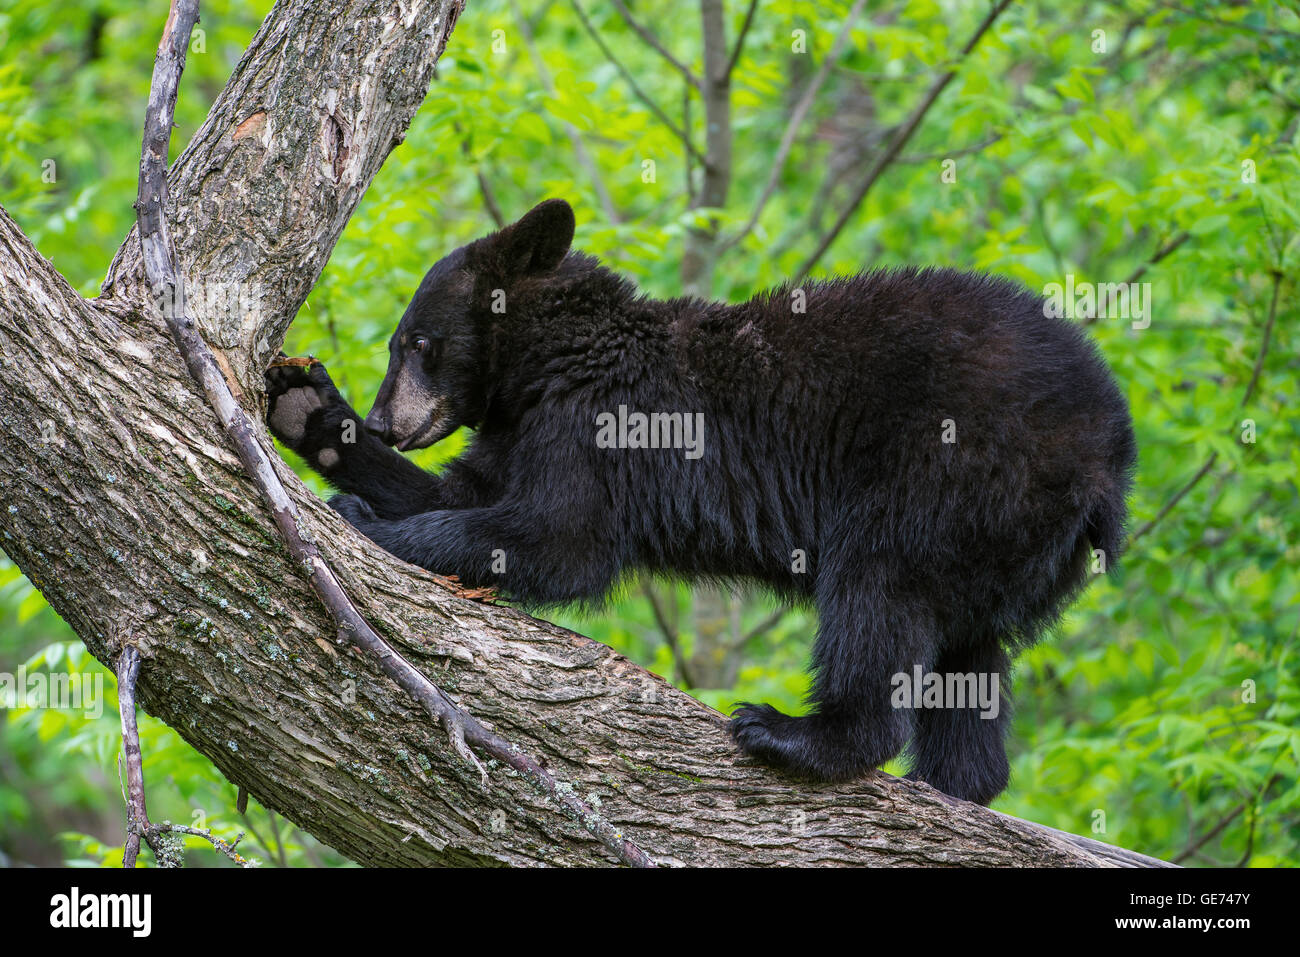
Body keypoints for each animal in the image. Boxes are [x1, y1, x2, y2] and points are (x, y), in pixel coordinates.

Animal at [266, 198, 1137, 805]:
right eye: (396, 345)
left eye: (418, 342)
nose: (388, 417)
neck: (551, 363)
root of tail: (1111, 458)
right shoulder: (519, 433)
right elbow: (464, 491)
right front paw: (313, 414)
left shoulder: (597, 425)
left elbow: (558, 537)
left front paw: (373, 525)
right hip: (999, 538)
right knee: (969, 656)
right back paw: (957, 781)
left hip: (950, 473)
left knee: (879, 589)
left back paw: (796, 734)